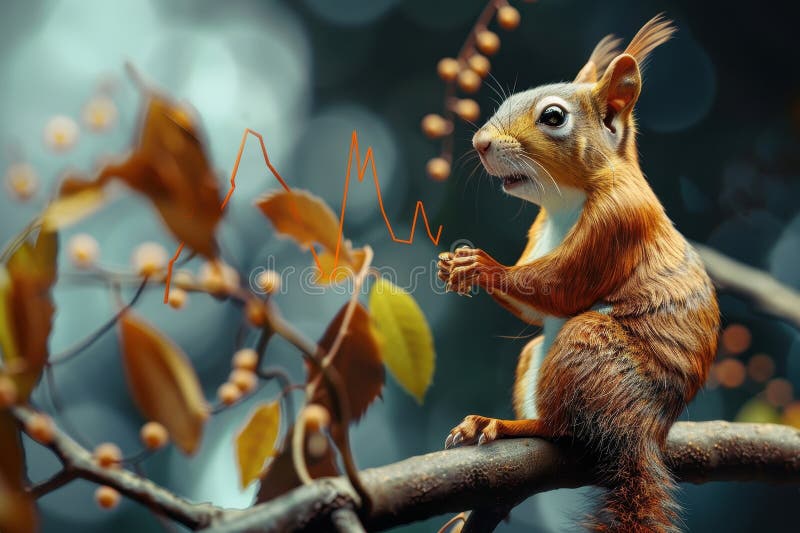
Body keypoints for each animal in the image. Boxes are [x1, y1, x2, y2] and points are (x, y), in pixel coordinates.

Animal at [437, 14, 719, 533]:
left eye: (553, 117)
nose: (479, 144)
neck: (565, 200)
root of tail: (645, 427)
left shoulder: (617, 222)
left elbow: (560, 288)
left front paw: (482, 265)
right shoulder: (540, 228)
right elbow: (535, 308)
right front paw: (456, 263)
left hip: (586, 348)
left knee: (562, 431)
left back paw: (500, 426)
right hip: (538, 357)